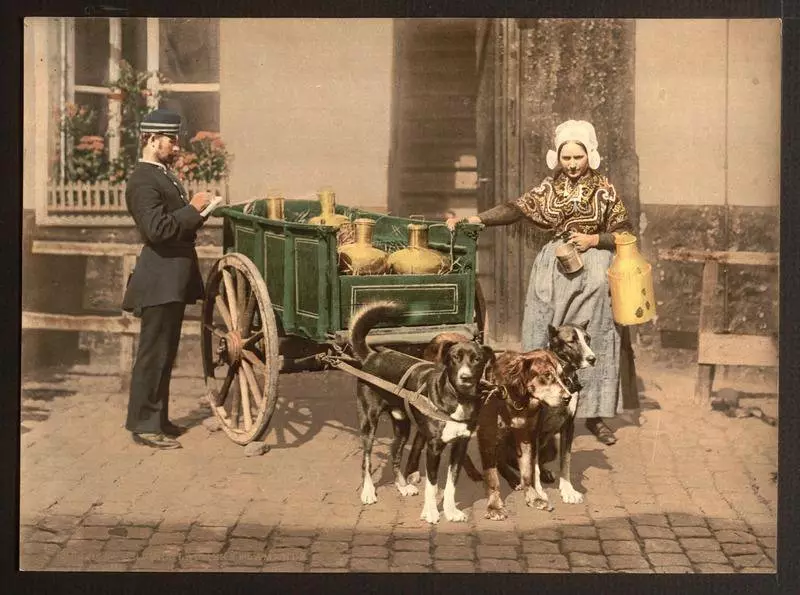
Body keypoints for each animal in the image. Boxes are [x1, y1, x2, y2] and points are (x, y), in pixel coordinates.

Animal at [350, 302, 494, 528]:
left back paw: (402, 486)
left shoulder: (459, 446)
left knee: (395, 453)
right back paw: (368, 492)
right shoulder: (433, 448)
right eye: (455, 358)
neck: (457, 398)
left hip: (402, 425)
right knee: (366, 459)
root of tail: (373, 356)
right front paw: (431, 512)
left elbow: (452, 482)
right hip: (368, 423)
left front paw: (451, 511)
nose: (465, 378)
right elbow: (432, 485)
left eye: (477, 359)